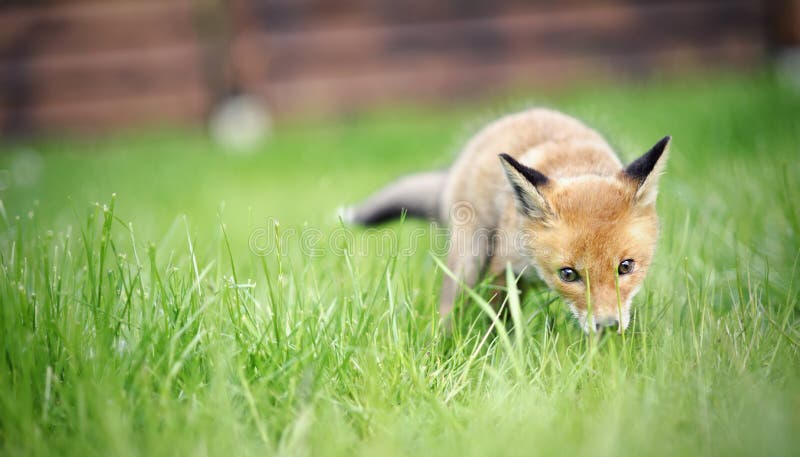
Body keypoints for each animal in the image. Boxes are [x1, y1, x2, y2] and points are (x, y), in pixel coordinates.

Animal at [344, 108, 670, 333]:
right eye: (568, 274)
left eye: (625, 267)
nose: (608, 326)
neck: (575, 165)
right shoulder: (505, 269)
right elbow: (499, 322)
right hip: (469, 259)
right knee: (449, 306)